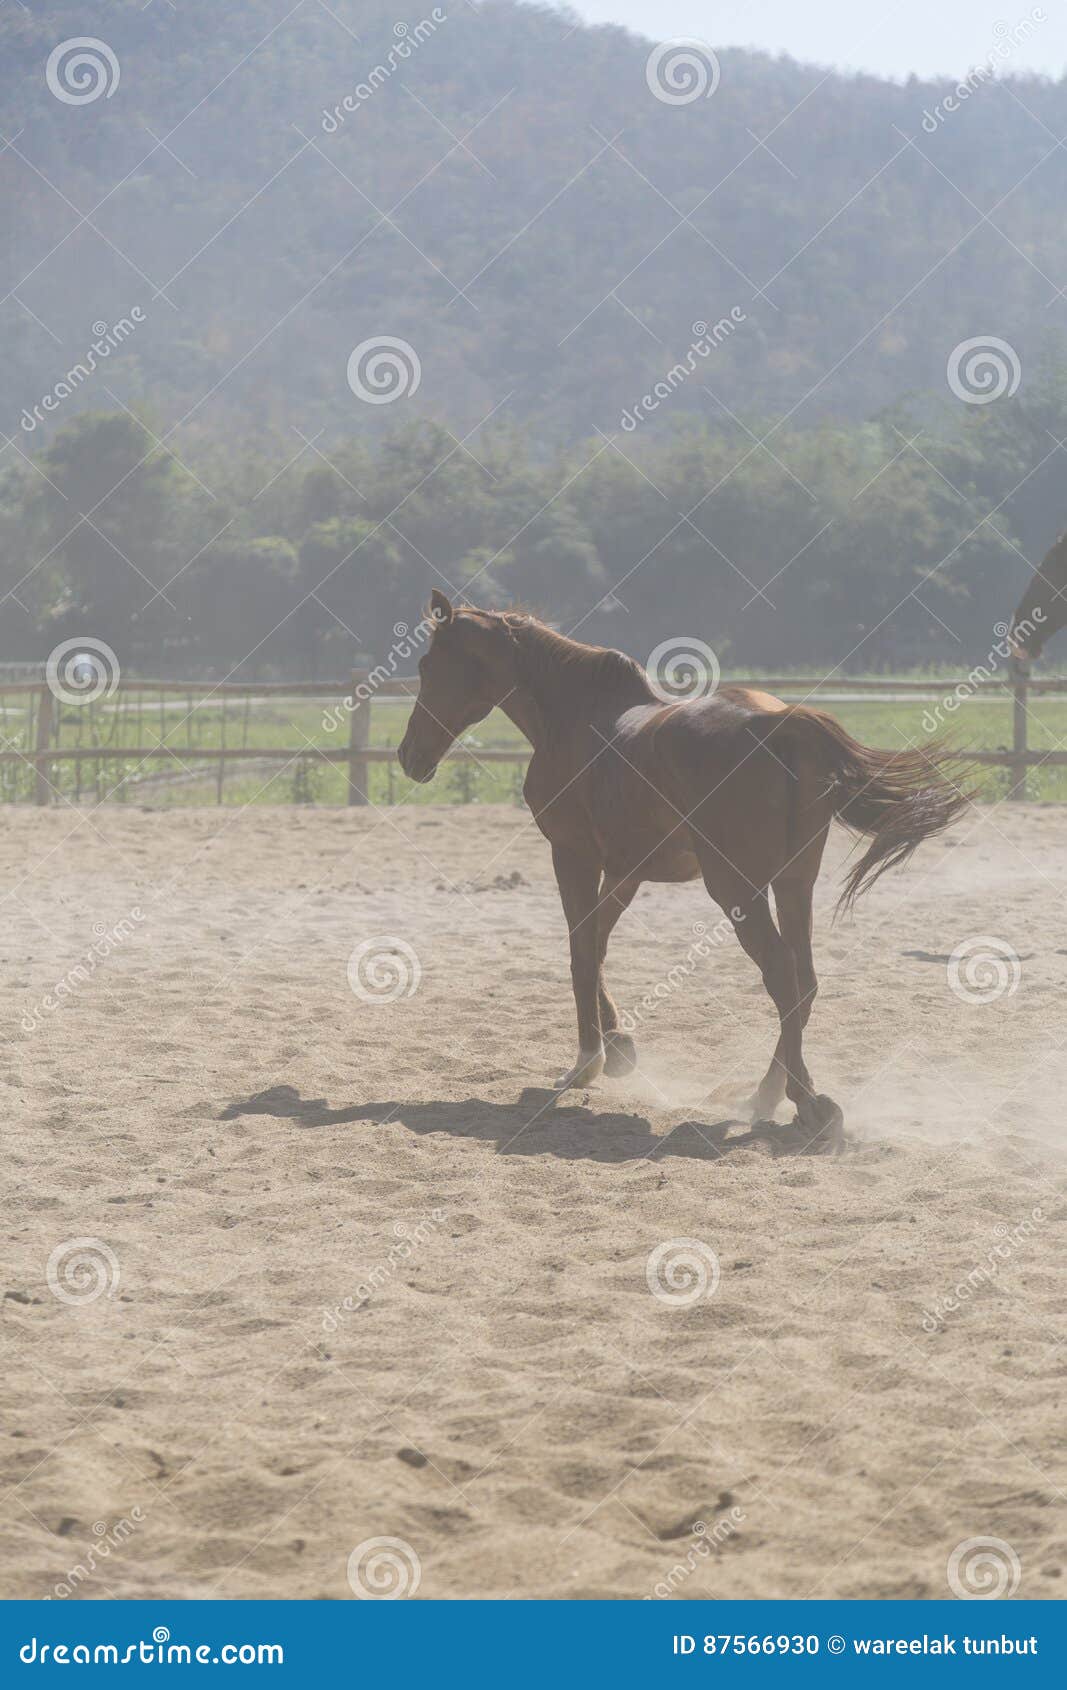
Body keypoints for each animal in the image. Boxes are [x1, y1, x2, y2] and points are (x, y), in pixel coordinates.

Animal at [398, 592, 969, 1146]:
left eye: (427, 665)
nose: (408, 756)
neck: (575, 717)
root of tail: (778, 725)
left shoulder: (572, 856)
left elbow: (580, 950)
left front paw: (586, 1063)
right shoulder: (625, 871)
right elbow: (597, 945)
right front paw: (619, 1046)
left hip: (738, 890)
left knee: (782, 977)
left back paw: (807, 1103)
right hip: (793, 885)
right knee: (802, 982)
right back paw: (764, 1097)